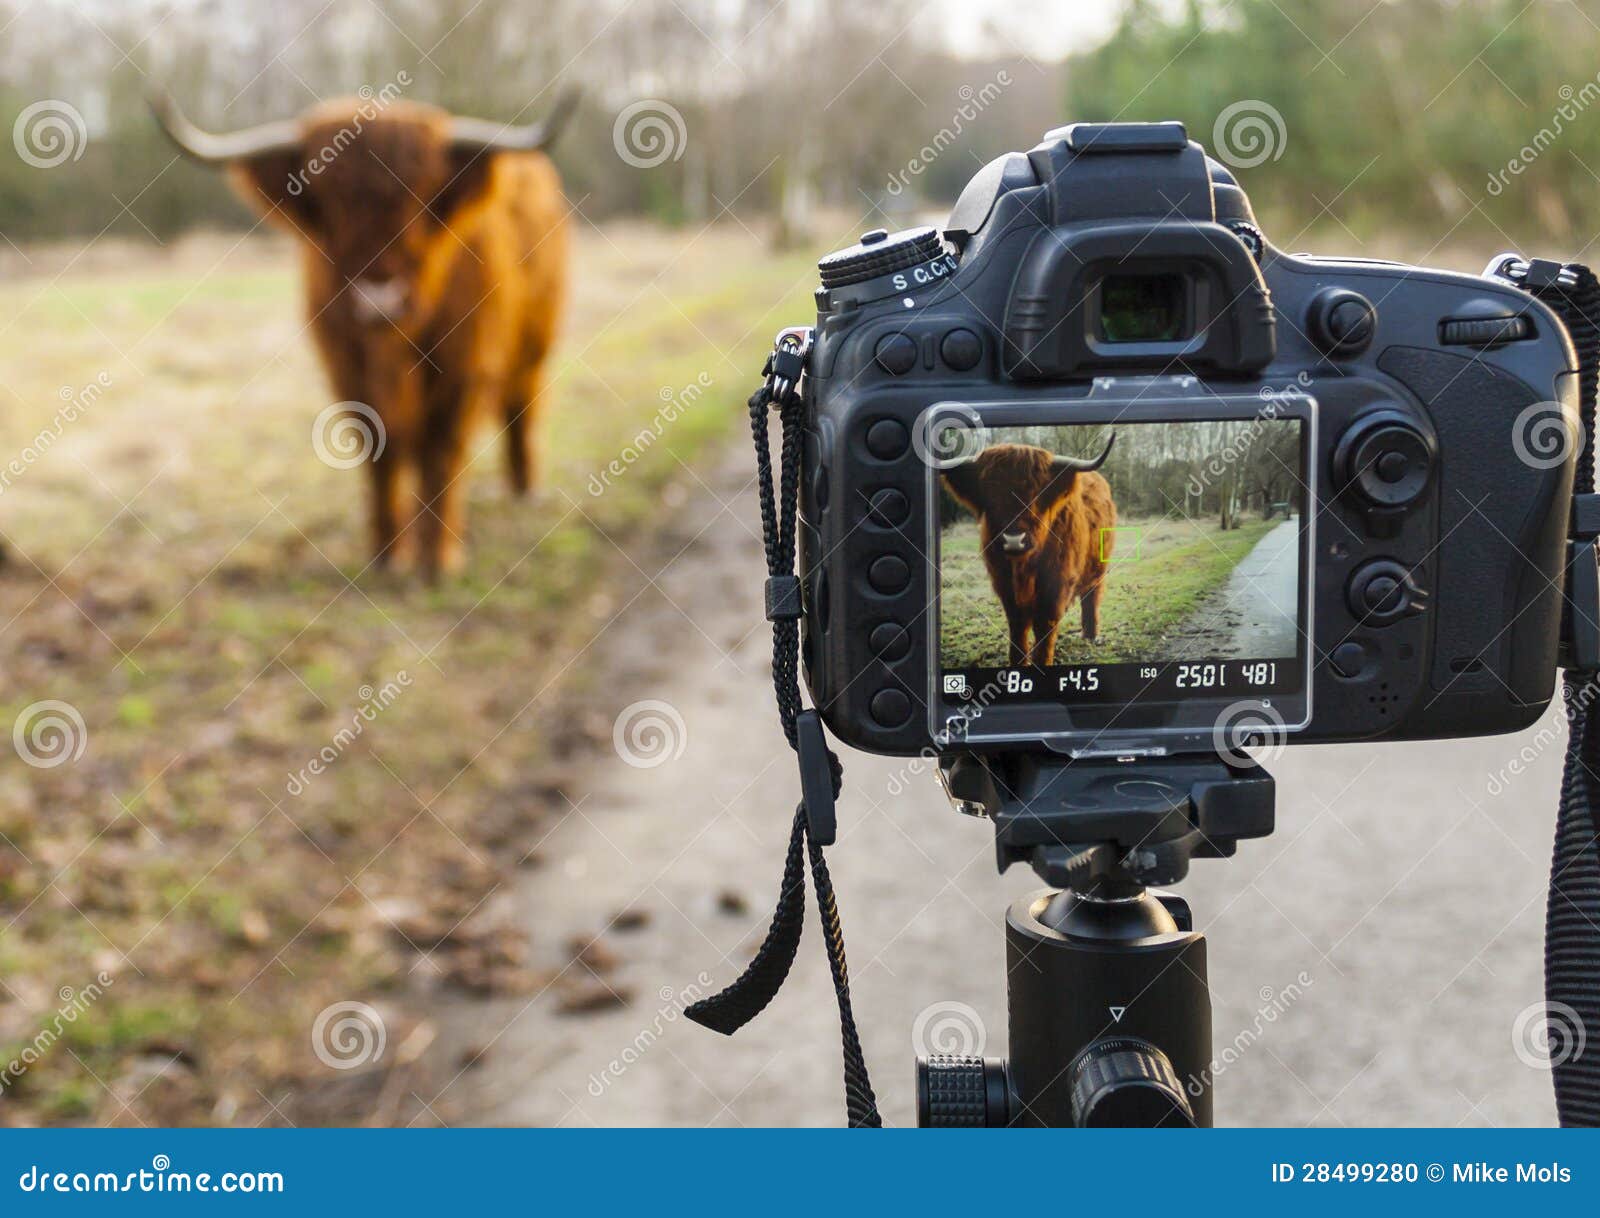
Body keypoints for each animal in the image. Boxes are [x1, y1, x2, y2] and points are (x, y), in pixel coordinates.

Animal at [149, 87, 578, 580]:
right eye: (328, 200)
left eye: (425, 195)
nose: (380, 300)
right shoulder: (347, 370)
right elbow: (380, 451)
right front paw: (388, 554)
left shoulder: (462, 368)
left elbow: (442, 452)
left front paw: (438, 558)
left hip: (534, 346)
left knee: (521, 409)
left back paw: (525, 489)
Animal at [942, 436, 1117, 666]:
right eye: (989, 493)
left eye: (1038, 493)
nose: (1014, 540)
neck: (1023, 568)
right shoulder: (1004, 584)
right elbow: (1017, 624)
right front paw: (1018, 661)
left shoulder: (1056, 584)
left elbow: (1044, 624)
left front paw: (1041, 660)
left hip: (1098, 567)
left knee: (1091, 596)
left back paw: (1090, 635)